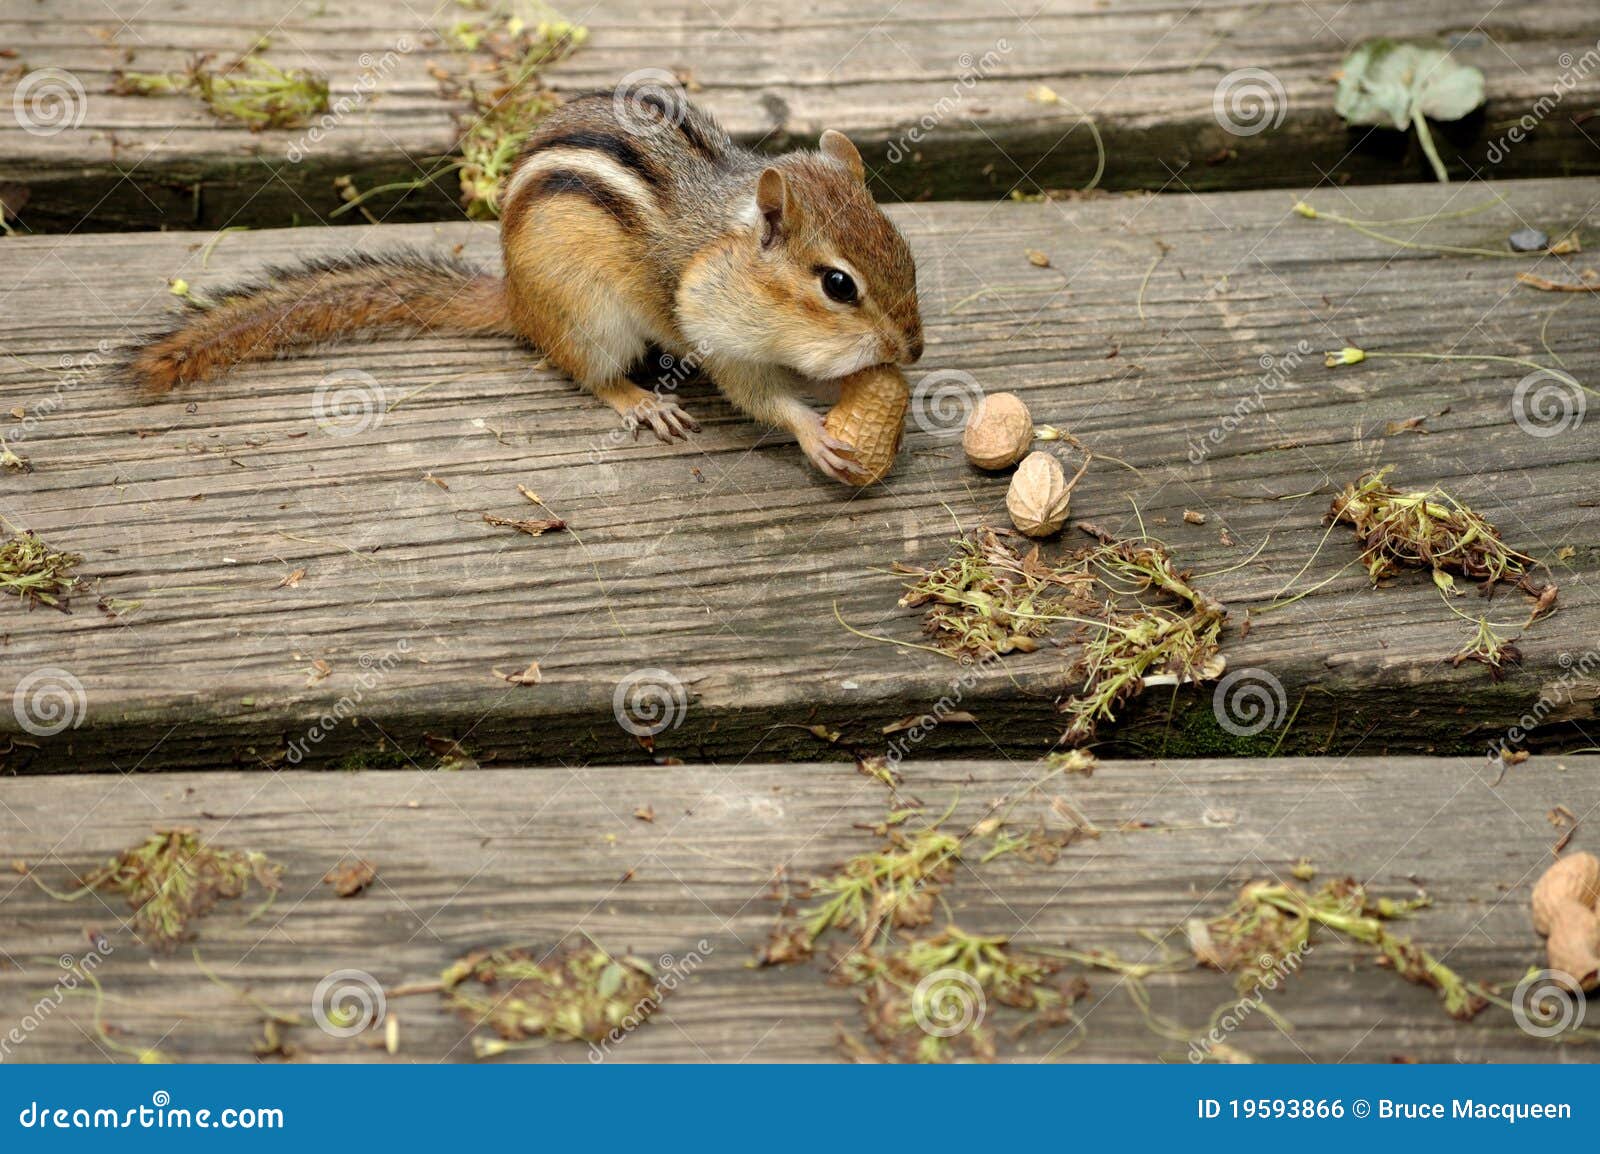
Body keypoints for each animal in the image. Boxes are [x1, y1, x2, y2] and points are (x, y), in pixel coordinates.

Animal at [127, 92, 924, 483]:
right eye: (838, 284)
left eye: (904, 250)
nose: (913, 351)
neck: (729, 252)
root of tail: (515, 294)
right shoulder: (711, 328)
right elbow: (755, 393)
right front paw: (814, 431)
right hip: (588, 315)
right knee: (586, 371)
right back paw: (640, 401)